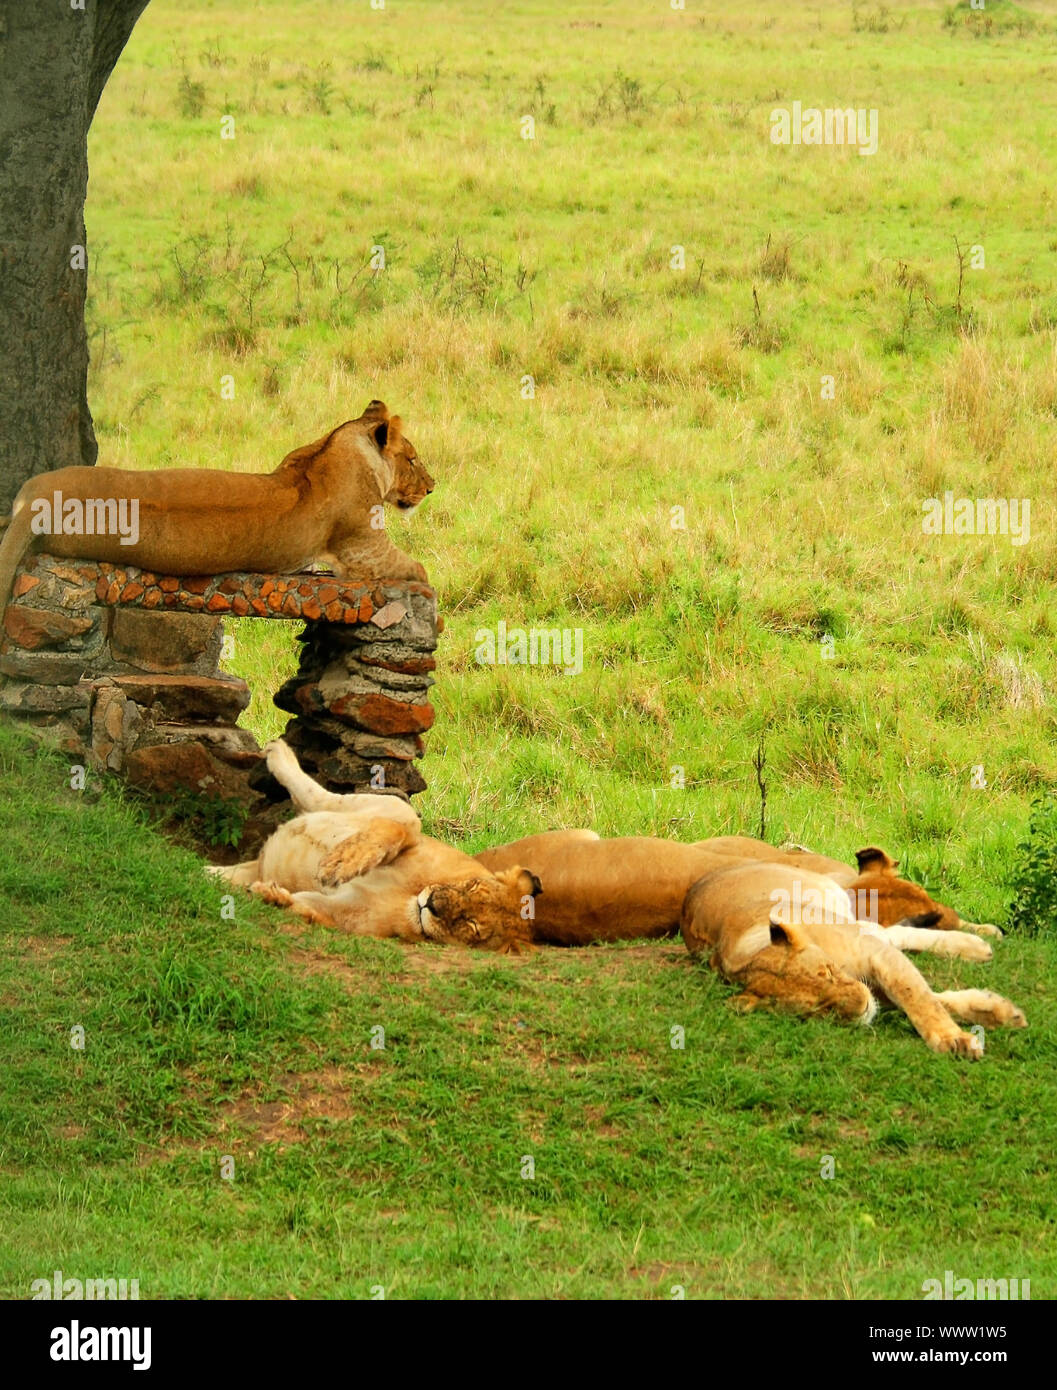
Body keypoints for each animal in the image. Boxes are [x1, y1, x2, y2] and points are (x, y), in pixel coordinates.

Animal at [0, 400, 433, 613]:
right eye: (412, 459)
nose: (432, 487)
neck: (334, 446)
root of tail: (37, 498)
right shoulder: (363, 548)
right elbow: (419, 570)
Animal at [209, 740, 539, 952]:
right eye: (471, 886)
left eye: (473, 926)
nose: (432, 904)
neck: (409, 893)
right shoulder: (395, 813)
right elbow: (399, 824)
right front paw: (341, 862)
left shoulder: (347, 913)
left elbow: (312, 911)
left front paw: (272, 896)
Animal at [680, 862, 1026, 1057]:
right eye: (820, 1009)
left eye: (828, 973)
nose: (861, 1006)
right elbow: (929, 997)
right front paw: (997, 1012)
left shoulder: (872, 954)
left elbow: (918, 997)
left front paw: (954, 1039)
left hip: (829, 896)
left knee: (887, 931)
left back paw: (979, 942)